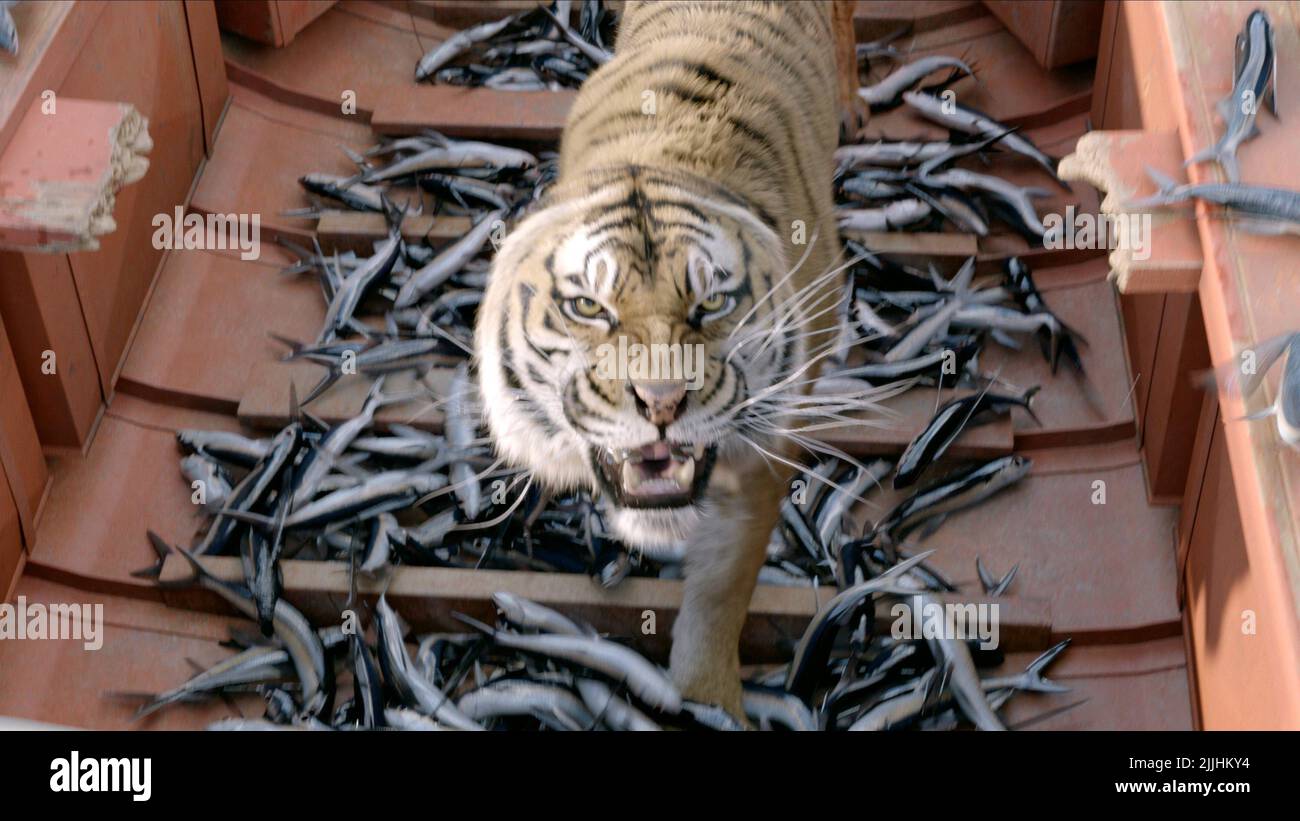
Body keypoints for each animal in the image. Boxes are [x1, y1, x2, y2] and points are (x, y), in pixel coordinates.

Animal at [476, 0, 845, 717]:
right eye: (588, 306)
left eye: (713, 302)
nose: (663, 402)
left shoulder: (765, 457)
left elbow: (725, 585)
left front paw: (711, 698)